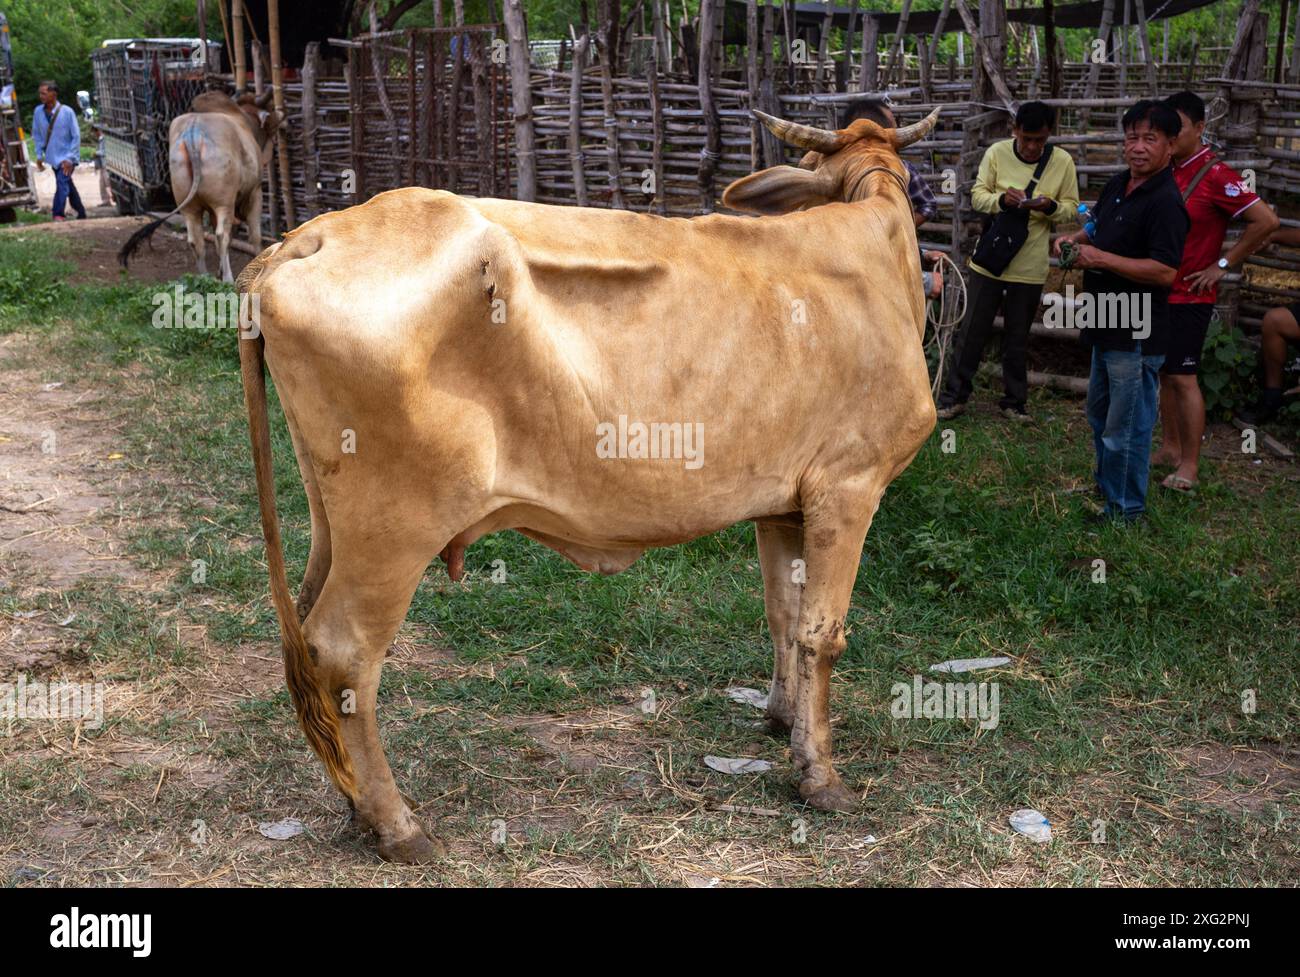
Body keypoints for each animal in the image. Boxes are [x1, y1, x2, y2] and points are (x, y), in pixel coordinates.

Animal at [119, 90, 279, 282]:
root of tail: (193, 132)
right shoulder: (254, 192)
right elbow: (255, 237)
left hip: (189, 206)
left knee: (196, 239)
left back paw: (204, 277)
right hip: (224, 203)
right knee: (221, 235)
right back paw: (228, 279)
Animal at [234, 107, 941, 862]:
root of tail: (308, 236)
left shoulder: (782, 505)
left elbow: (782, 611)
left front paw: (782, 718)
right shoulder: (849, 484)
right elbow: (821, 631)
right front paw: (819, 775)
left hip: (331, 518)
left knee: (307, 639)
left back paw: (354, 803)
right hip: (395, 532)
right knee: (343, 654)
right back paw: (398, 824)